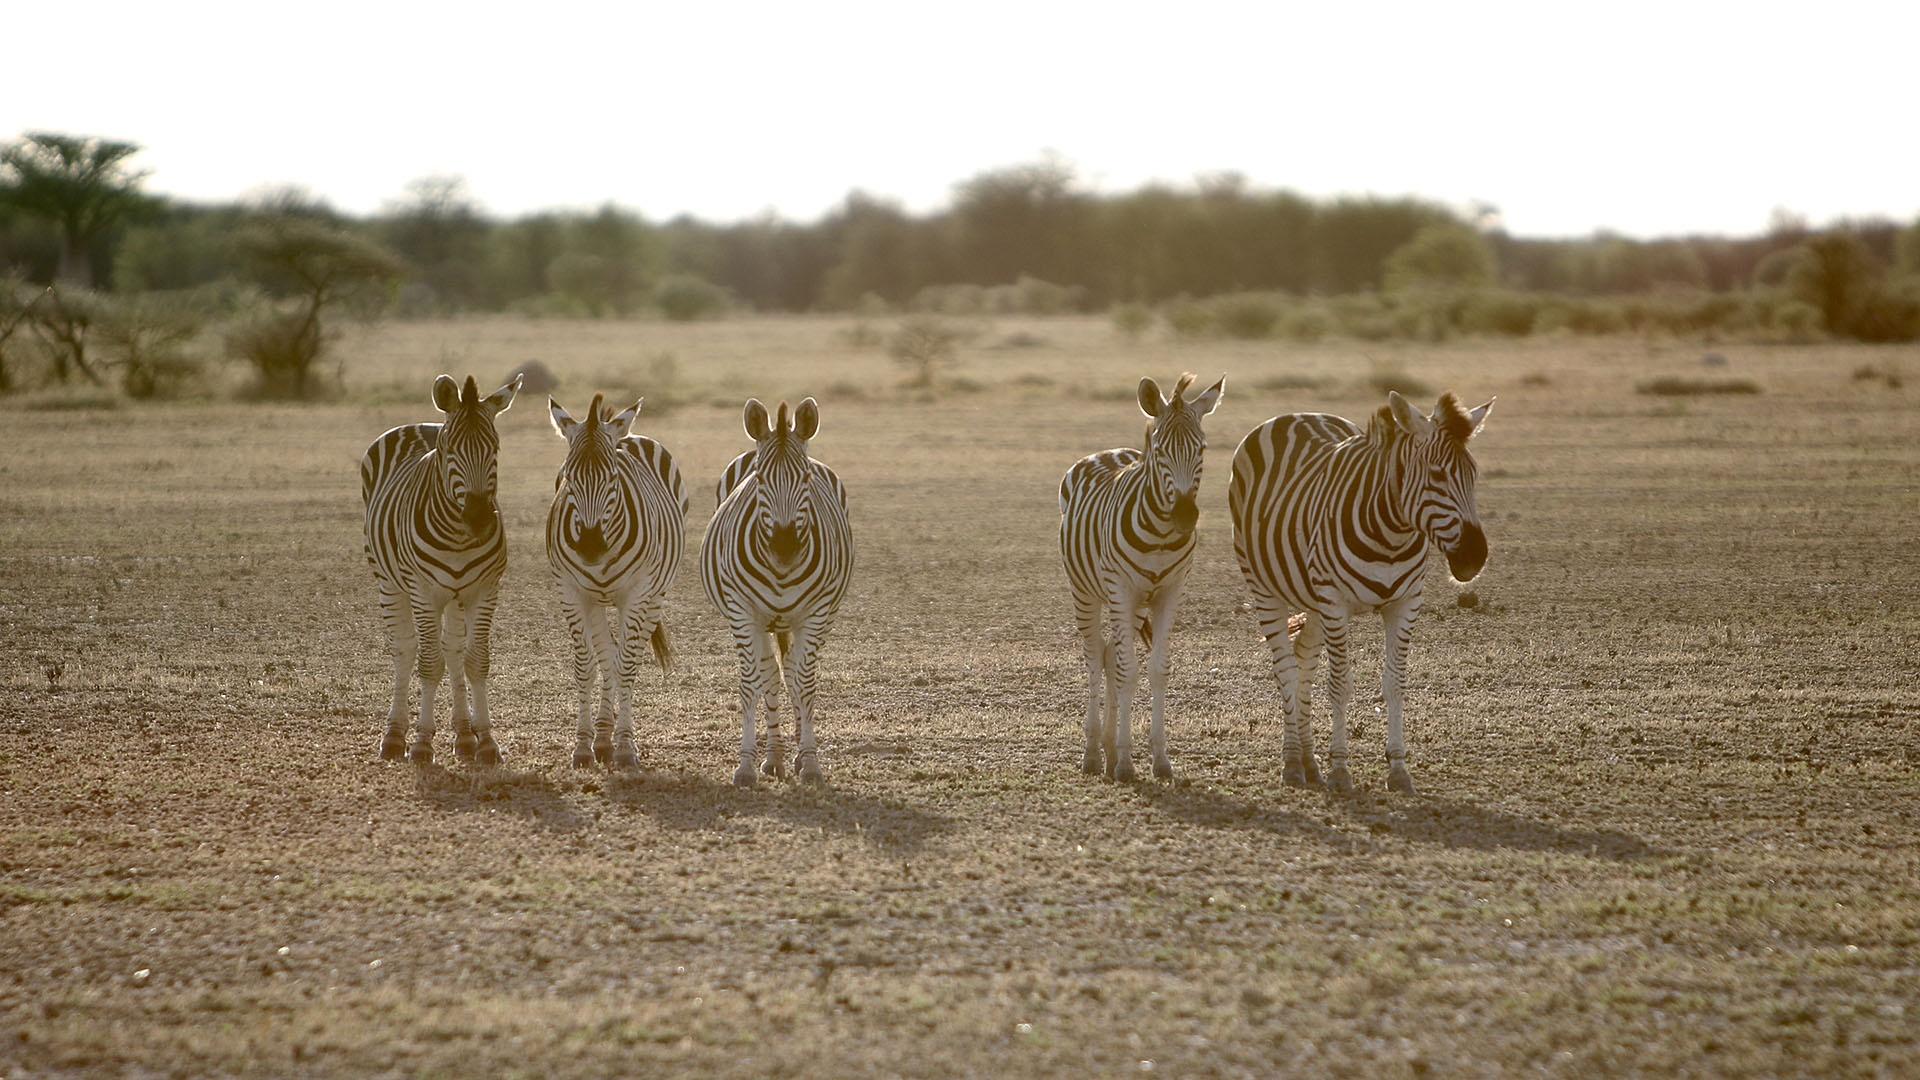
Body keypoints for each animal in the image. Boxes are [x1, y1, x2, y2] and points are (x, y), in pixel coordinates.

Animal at [361, 373, 521, 765]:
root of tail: (422, 424)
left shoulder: (484, 590)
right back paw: (394, 736)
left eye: (495, 449)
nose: (479, 518)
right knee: (404, 649)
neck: (459, 537)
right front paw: (421, 744)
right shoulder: (423, 591)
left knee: (453, 650)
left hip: (457, 596)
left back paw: (464, 737)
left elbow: (475, 661)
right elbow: (429, 663)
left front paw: (486, 742)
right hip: (389, 583)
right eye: (449, 451)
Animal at [546, 392, 688, 769]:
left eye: (612, 477)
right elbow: (587, 667)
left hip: (654, 595)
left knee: (627, 656)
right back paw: (602, 738)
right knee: (606, 655)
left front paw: (625, 747)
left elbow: (626, 666)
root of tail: (626, 433)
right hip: (596, 600)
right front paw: (583, 746)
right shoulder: (572, 593)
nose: (590, 547)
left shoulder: (637, 594)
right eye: (567, 477)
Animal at [701, 398, 853, 787]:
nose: (785, 549)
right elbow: (751, 683)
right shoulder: (742, 613)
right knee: (769, 673)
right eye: (759, 479)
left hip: (819, 617)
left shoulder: (815, 614)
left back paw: (794, 752)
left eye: (806, 478)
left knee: (793, 672)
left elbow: (804, 682)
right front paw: (746, 765)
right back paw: (774, 758)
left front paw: (810, 761)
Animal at [1060, 372, 1226, 782]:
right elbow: (1127, 670)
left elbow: (1156, 670)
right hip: (1086, 593)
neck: (1161, 536)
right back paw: (1093, 754)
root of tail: (1109, 451)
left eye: (1202, 449)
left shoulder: (1170, 592)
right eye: (1161, 450)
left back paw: (1105, 748)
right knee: (1094, 657)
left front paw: (1159, 759)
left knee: (1108, 655)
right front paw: (1124, 763)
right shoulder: (1122, 588)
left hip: (1132, 607)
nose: (1184, 516)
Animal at [1227, 390, 1493, 795]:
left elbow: (1395, 683)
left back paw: (1309, 761)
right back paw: (1292, 763)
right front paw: (1340, 770)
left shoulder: (1405, 603)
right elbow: (1339, 685)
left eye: (1474, 475)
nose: (1474, 557)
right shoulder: (1335, 602)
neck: (1392, 534)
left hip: (1314, 600)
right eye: (1437, 474)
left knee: (1304, 660)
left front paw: (1398, 769)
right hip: (1264, 586)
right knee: (1286, 668)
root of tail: (1296, 414)